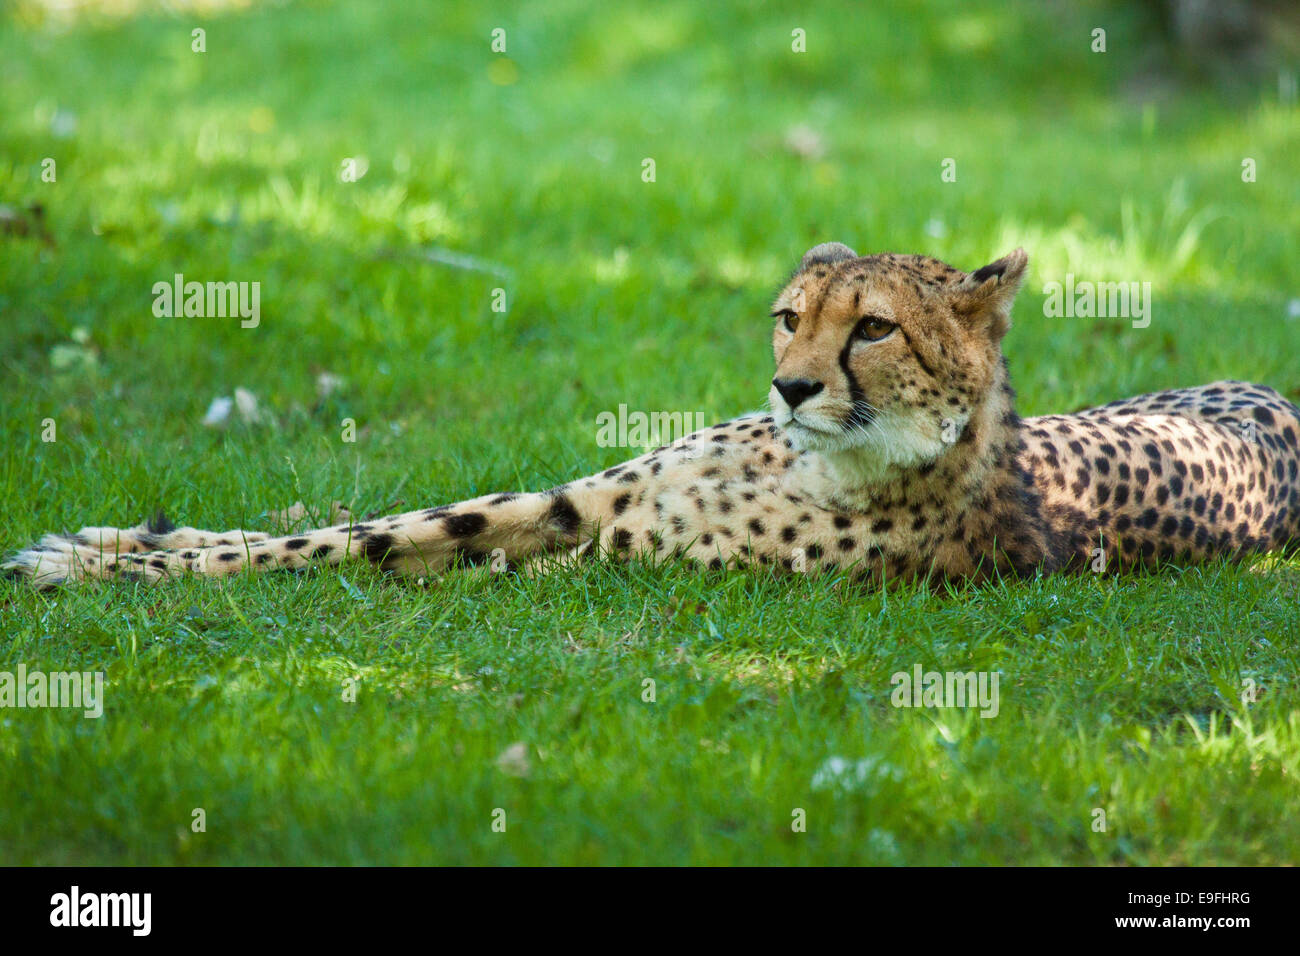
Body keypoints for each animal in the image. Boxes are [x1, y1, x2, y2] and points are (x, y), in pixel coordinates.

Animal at [6, 242, 1299, 590]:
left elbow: (368, 546)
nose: (790, 387)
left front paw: (100, 567)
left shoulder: (614, 543)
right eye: (791, 318)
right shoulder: (585, 499)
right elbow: (359, 524)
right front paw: (120, 539)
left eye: (874, 329)